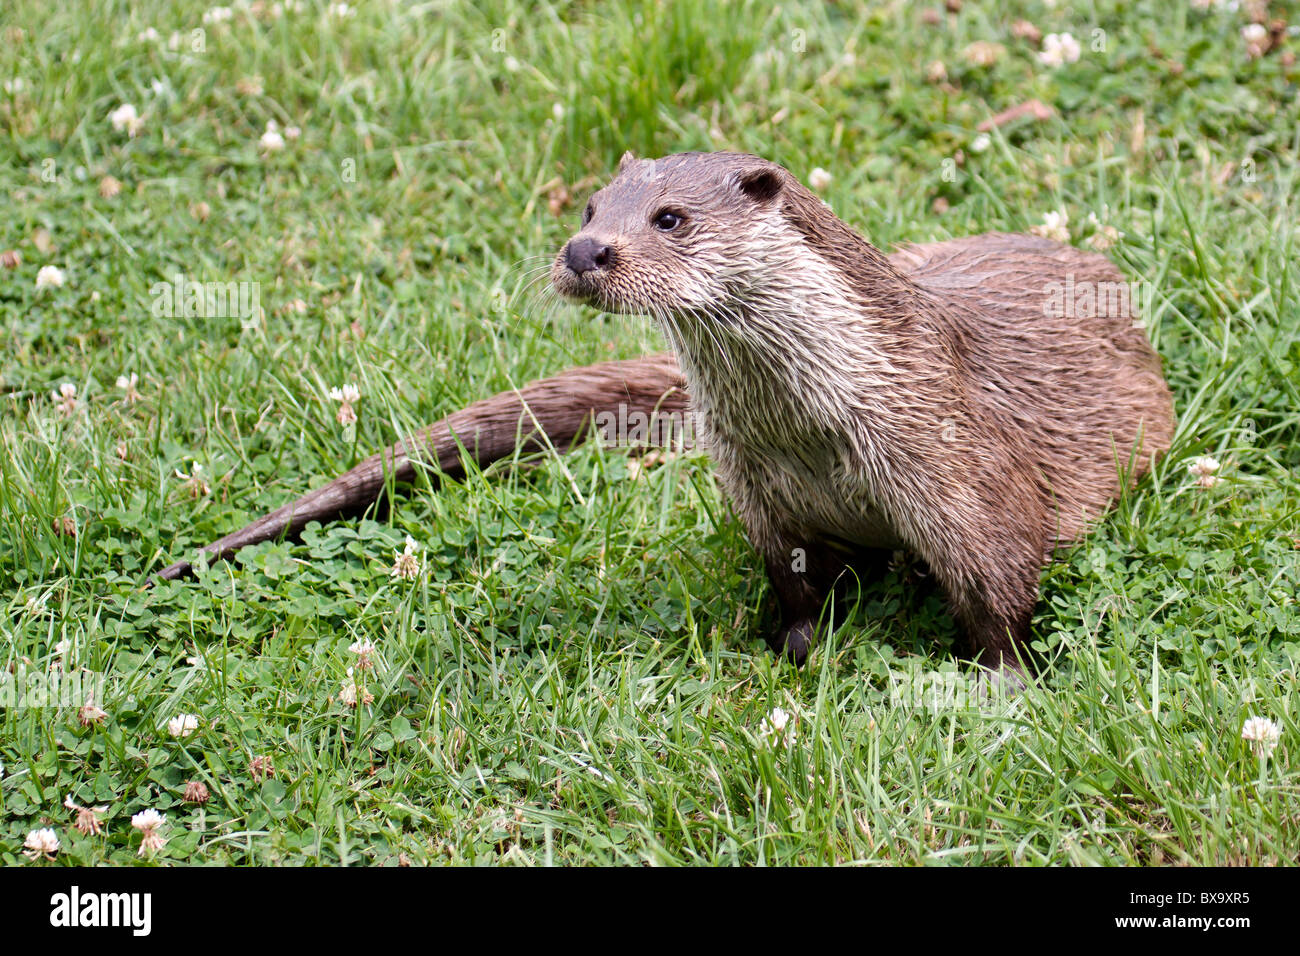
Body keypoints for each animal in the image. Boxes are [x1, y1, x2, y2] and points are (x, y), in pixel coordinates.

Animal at [154, 151, 1175, 679]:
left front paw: (997, 686)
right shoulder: (758, 491)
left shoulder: (962, 478)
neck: (814, 433)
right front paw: (793, 651)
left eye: (672, 217)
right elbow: (795, 585)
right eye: (592, 205)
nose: (584, 251)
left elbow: (999, 593)